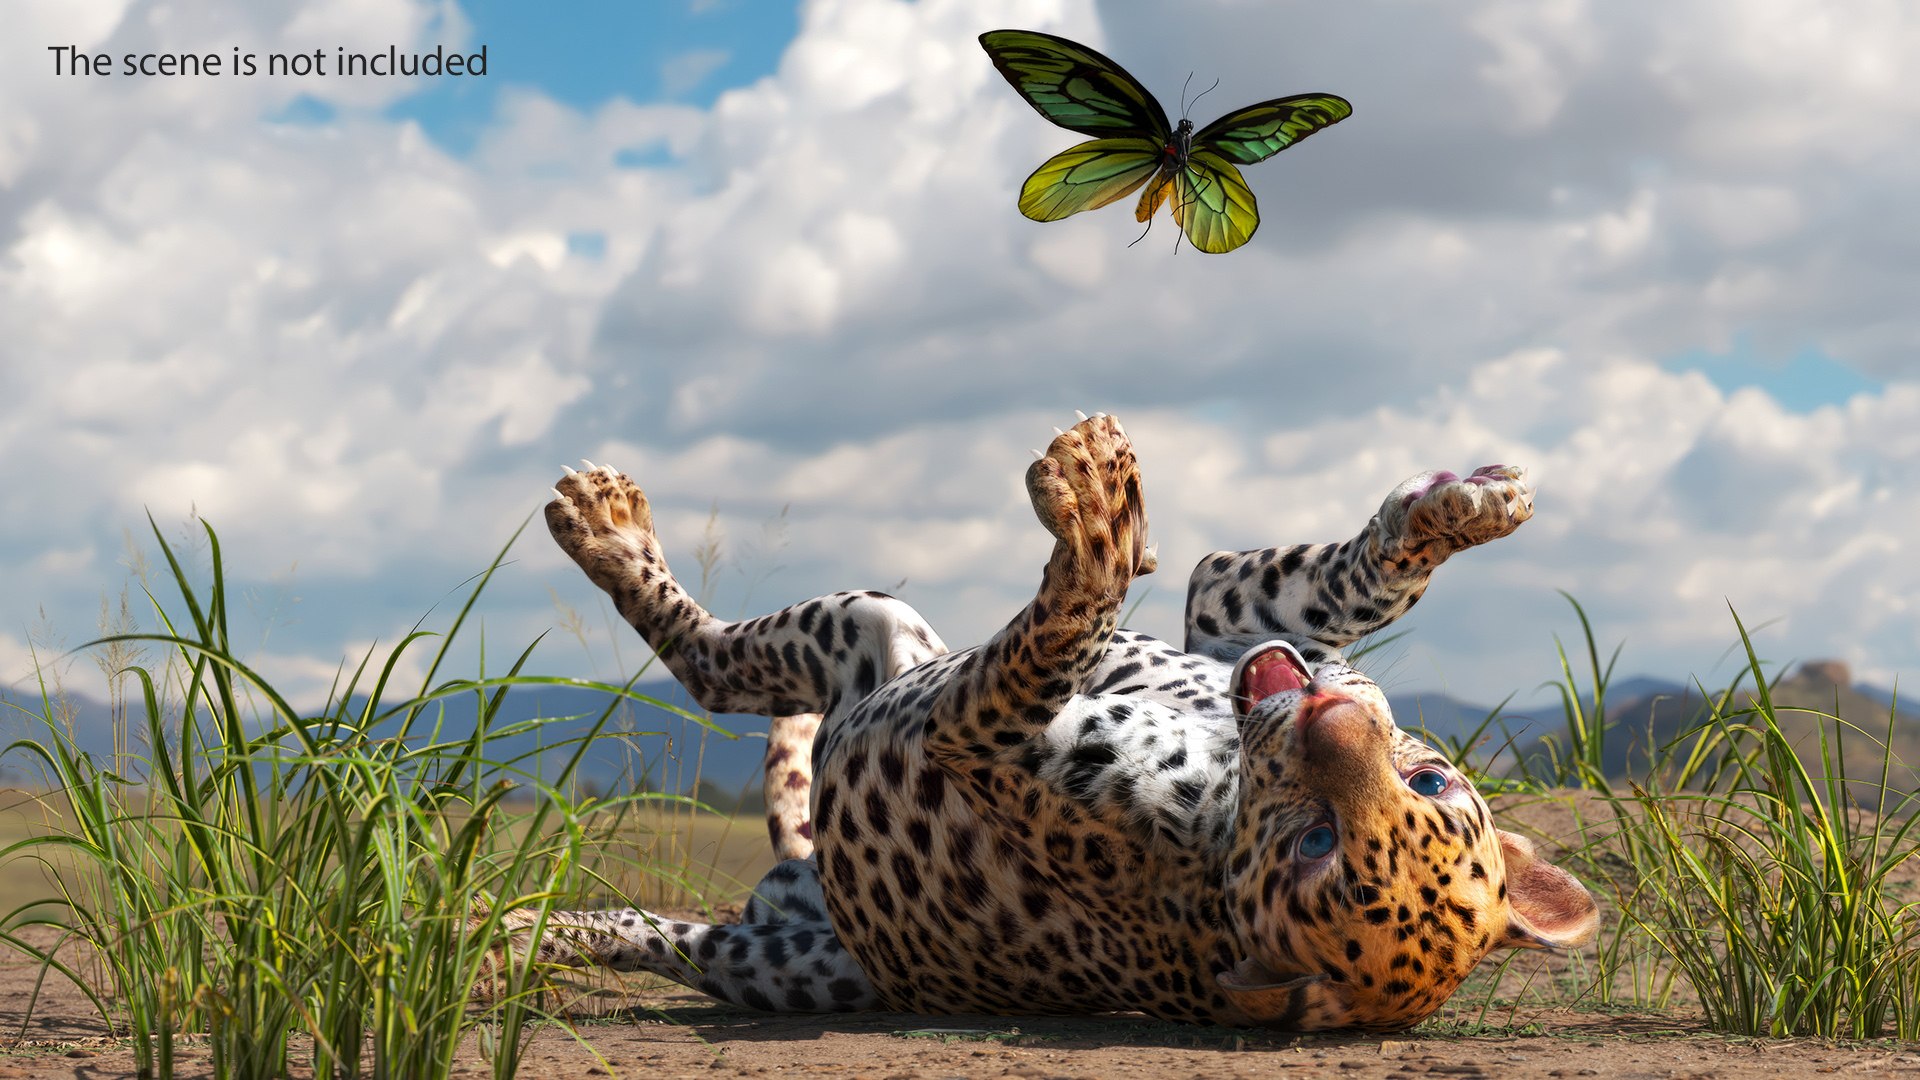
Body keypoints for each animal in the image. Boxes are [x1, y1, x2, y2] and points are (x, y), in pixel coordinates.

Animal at [502, 412, 1598, 1031]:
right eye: (1431, 782)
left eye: (1316, 850)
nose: (1327, 714)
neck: (1229, 773)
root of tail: (801, 890)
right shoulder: (1232, 621)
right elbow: (1351, 575)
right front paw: (1471, 503)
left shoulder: (966, 725)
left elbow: (1059, 628)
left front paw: (1099, 522)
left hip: (805, 895)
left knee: (707, 682)